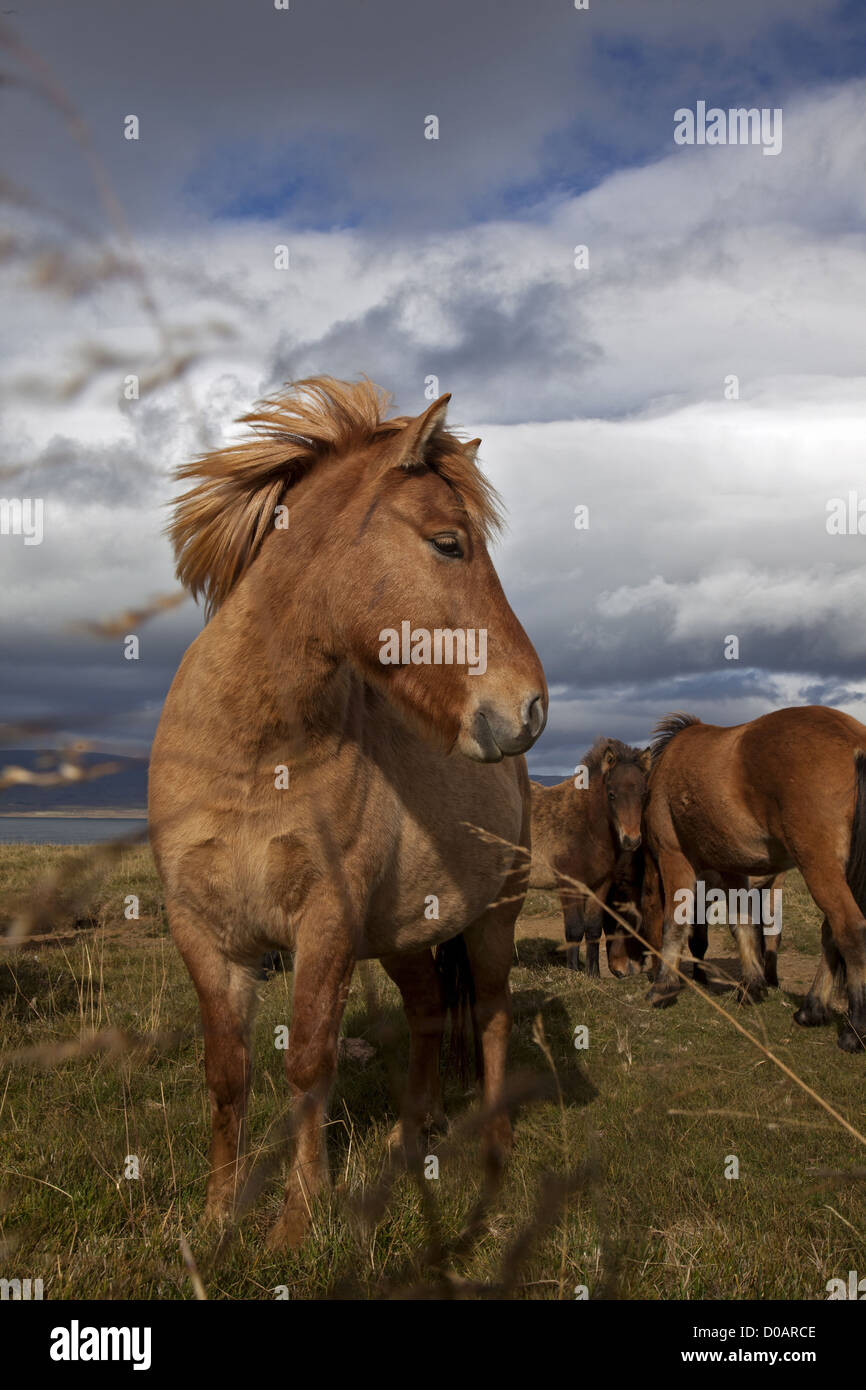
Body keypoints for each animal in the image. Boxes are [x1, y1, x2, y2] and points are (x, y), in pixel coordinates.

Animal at [148, 377, 548, 1248]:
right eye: (448, 544)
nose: (530, 708)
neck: (254, 759)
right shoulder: (203, 932)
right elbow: (227, 1071)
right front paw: (217, 1219)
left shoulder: (325, 921)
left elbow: (309, 1062)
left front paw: (296, 1222)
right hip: (403, 937)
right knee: (429, 1012)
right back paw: (410, 1132)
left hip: (494, 921)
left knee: (493, 1015)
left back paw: (496, 1143)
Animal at [528, 740, 651, 975]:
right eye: (611, 794)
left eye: (643, 793)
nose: (631, 840)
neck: (586, 825)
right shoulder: (570, 884)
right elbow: (574, 929)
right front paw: (573, 972)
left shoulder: (600, 885)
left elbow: (593, 928)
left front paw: (593, 974)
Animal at [641, 707, 866, 1052]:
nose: (643, 968)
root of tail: (854, 739)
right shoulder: (732, 867)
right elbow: (743, 924)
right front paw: (752, 987)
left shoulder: (673, 854)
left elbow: (675, 923)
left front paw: (662, 988)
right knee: (831, 932)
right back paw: (811, 1010)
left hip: (819, 867)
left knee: (849, 930)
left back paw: (854, 1031)